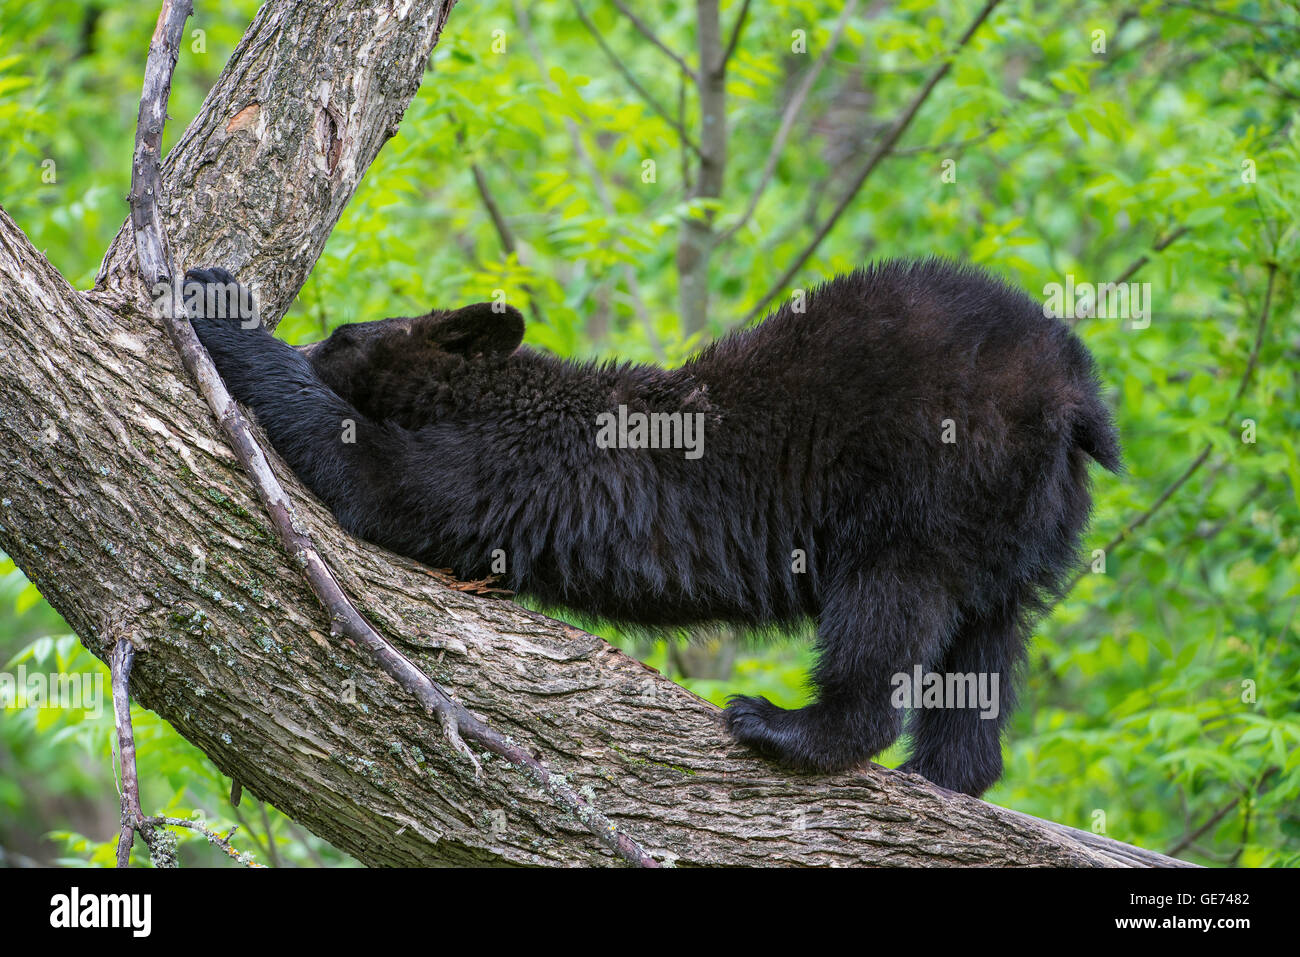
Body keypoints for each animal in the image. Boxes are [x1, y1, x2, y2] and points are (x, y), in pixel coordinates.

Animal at [183, 259, 1120, 797]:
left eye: (344, 332)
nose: (319, 338)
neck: (498, 395)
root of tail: (1074, 392)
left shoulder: (507, 464)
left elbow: (383, 482)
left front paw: (216, 301)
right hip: (1022, 526)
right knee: (987, 642)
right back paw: (948, 774)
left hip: (930, 484)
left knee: (892, 607)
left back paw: (789, 727)